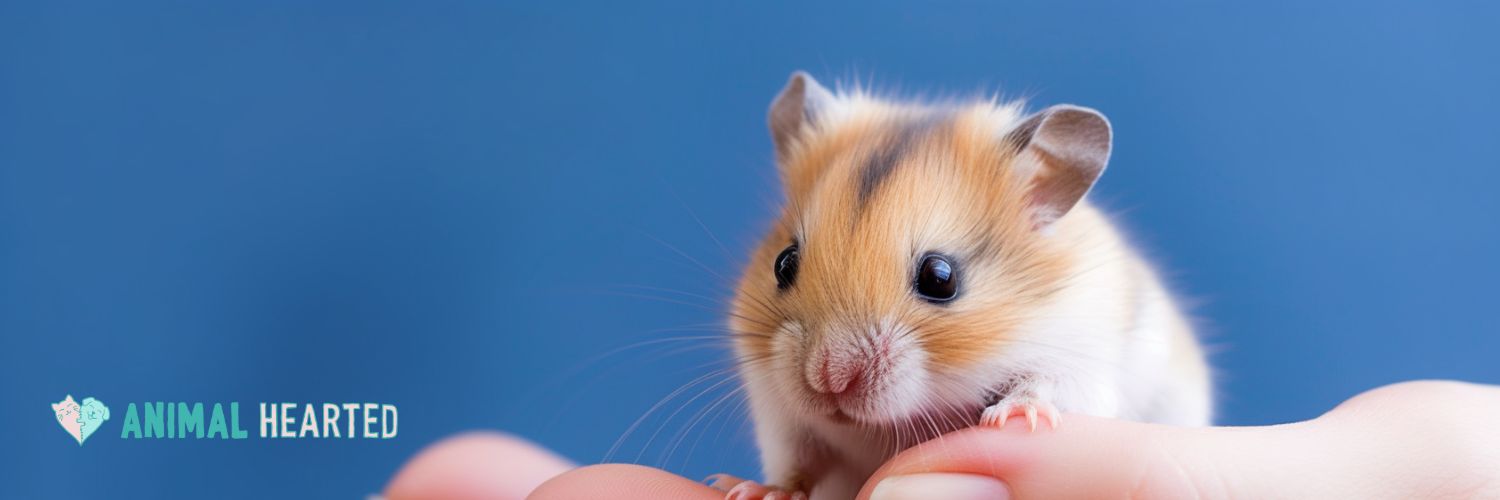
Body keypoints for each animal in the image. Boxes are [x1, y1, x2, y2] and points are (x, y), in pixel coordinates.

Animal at [720, 72, 1212, 500]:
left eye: (940, 277)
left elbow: (1046, 386)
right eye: (783, 263)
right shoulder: (778, 412)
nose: (828, 381)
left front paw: (1014, 415)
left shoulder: (1080, 359)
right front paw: (751, 490)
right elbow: (797, 463)